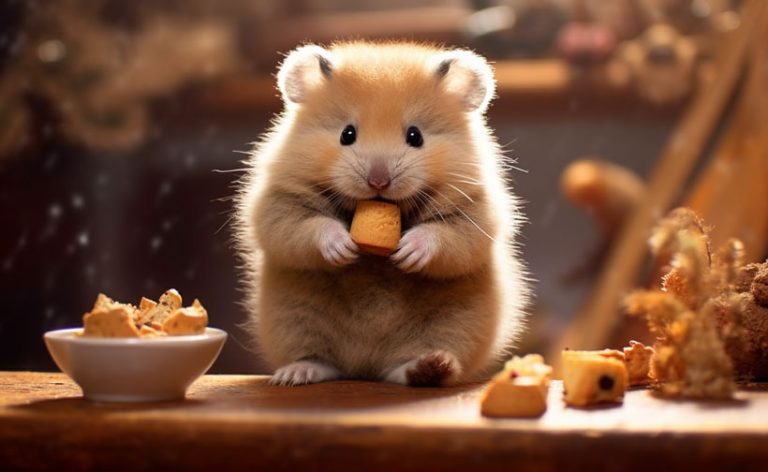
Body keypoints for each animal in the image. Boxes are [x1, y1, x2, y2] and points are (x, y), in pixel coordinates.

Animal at [234, 41, 530, 387]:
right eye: (347, 134)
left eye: (415, 136)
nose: (378, 181)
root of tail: (365, 367)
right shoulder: (278, 201)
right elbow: (302, 226)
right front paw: (343, 248)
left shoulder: (477, 210)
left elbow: (447, 236)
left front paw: (407, 253)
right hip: (292, 318)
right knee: (321, 360)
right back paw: (295, 374)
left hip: (455, 324)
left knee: (400, 369)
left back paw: (429, 366)